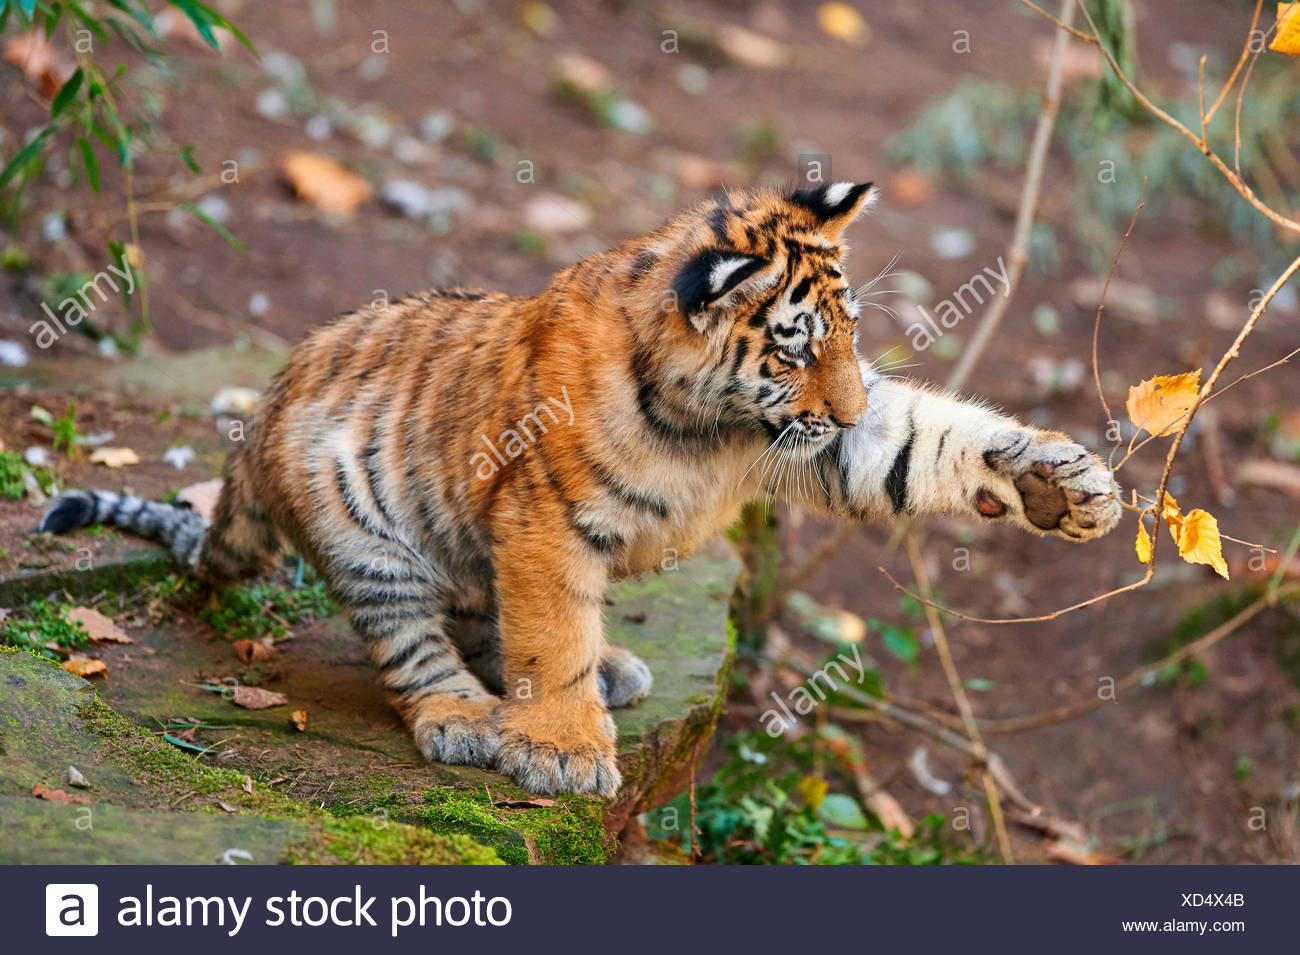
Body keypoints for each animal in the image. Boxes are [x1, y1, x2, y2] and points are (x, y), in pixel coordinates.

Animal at [40, 181, 1121, 797]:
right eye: (795, 345)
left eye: (851, 336)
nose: (849, 407)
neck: (713, 424)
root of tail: (261, 417)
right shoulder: (544, 518)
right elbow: (550, 633)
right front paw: (559, 750)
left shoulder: (807, 447)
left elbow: (923, 440)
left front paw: (1061, 482)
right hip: (363, 529)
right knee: (415, 648)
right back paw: (470, 717)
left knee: (479, 619)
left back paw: (605, 671)